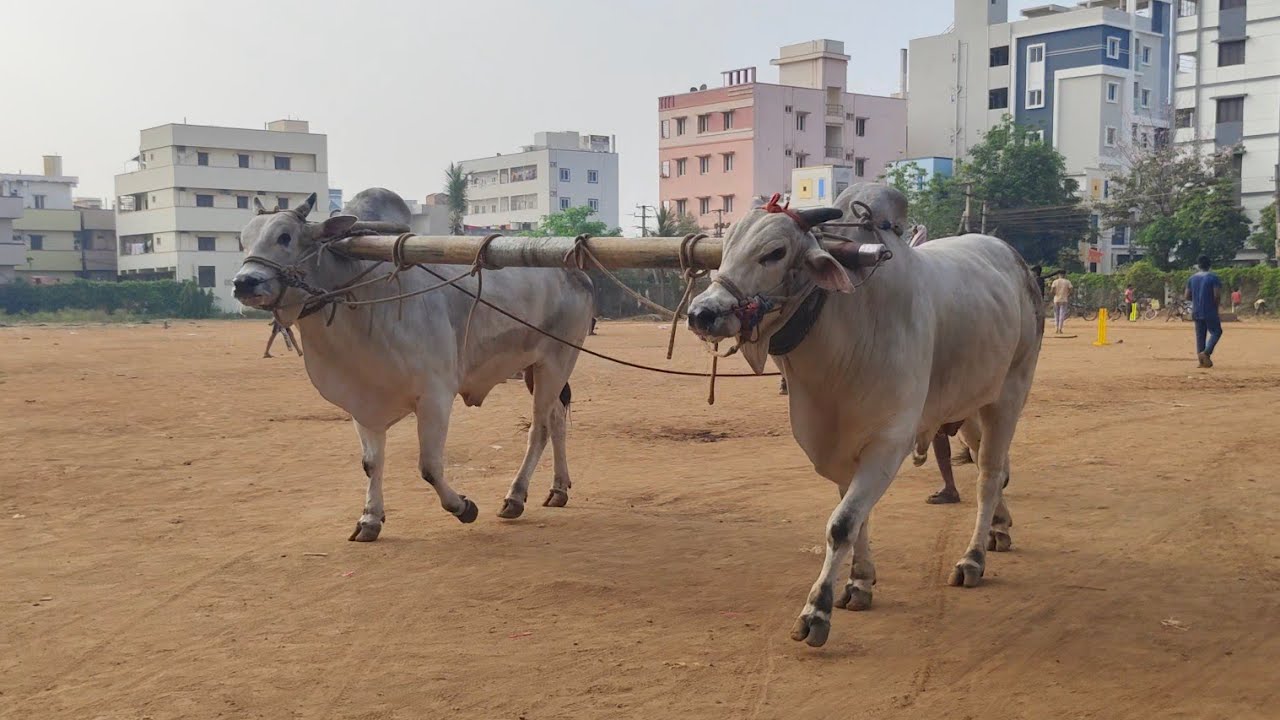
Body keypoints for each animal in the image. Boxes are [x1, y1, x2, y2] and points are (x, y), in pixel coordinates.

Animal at [232, 189, 594, 541]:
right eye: (242, 241)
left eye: (285, 236)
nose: (244, 283)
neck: (363, 301)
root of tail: (572, 268)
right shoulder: (363, 402)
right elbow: (371, 463)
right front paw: (370, 518)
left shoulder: (435, 397)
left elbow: (429, 467)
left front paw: (463, 507)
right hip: (537, 367)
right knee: (557, 418)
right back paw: (558, 488)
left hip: (558, 359)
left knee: (540, 428)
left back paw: (516, 497)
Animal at [686, 183, 1043, 647]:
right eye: (725, 248)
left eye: (775, 252)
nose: (701, 313)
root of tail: (1016, 261)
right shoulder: (839, 447)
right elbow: (856, 516)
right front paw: (859, 582)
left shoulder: (888, 443)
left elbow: (841, 524)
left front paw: (817, 610)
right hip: (970, 405)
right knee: (995, 471)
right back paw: (1001, 528)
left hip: (1010, 392)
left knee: (988, 476)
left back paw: (973, 558)